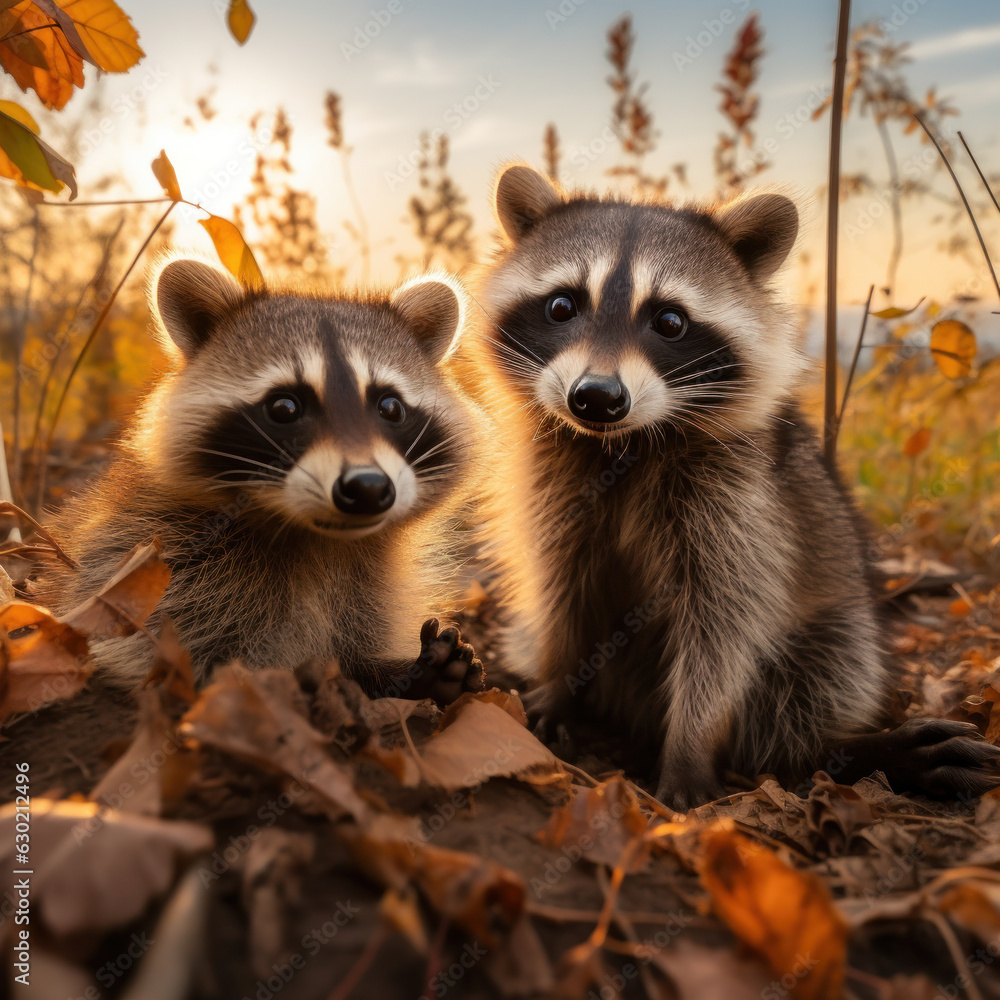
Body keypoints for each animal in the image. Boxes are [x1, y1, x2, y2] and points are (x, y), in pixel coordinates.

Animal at [36, 257, 483, 702]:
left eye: (390, 406)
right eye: (285, 407)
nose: (368, 488)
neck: (320, 541)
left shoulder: (368, 588)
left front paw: (399, 672)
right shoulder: (148, 557)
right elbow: (166, 655)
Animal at [467, 164, 1000, 809]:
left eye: (670, 321)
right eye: (562, 305)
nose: (596, 398)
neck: (621, 445)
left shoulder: (743, 502)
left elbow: (725, 625)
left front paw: (691, 748)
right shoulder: (554, 484)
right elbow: (560, 586)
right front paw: (559, 682)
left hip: (840, 620)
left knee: (818, 678)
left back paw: (846, 751)